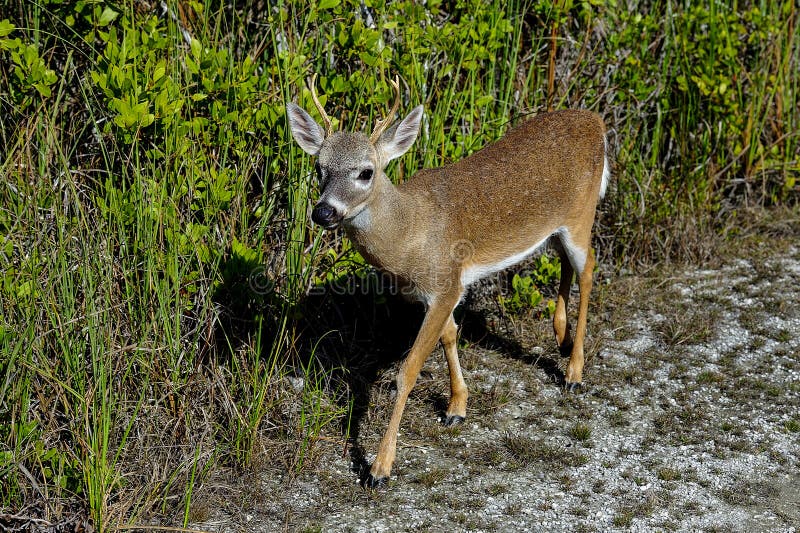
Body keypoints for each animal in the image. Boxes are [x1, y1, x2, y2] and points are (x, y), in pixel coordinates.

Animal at [286, 76, 609, 488]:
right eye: (319, 167)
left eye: (365, 172)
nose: (324, 212)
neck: (410, 232)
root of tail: (596, 122)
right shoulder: (439, 290)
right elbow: (451, 335)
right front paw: (457, 406)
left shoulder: (446, 284)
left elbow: (407, 371)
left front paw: (379, 468)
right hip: (558, 228)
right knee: (566, 265)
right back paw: (561, 337)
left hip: (582, 212)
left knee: (588, 269)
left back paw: (574, 372)